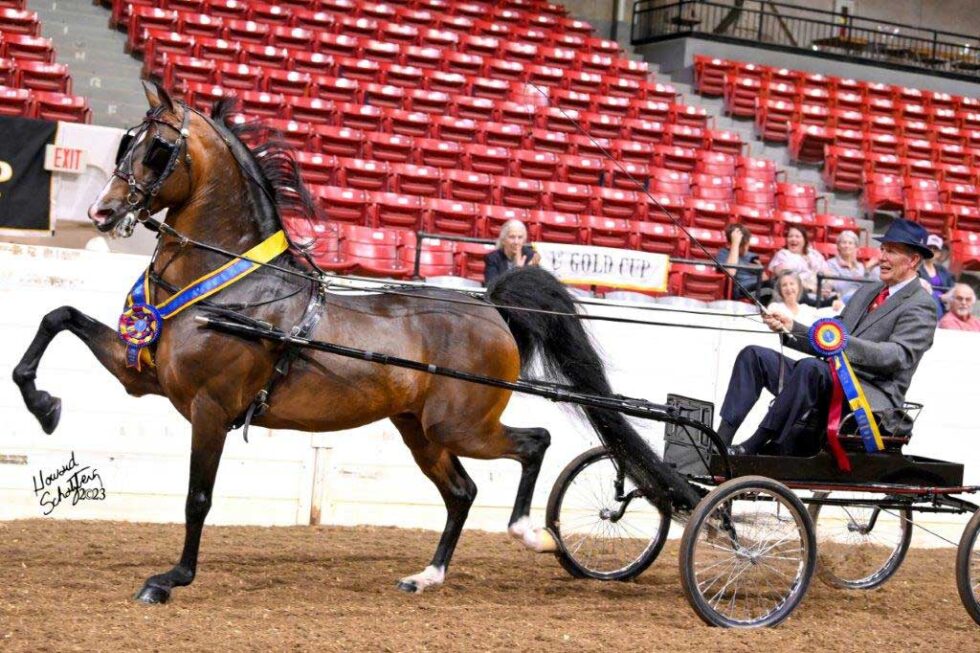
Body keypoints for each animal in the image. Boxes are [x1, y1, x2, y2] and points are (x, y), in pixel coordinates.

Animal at [12, 82, 699, 604]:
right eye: (126, 141)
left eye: (157, 149)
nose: (102, 213)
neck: (234, 287)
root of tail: (490, 305)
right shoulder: (144, 376)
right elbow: (58, 315)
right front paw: (44, 408)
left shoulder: (210, 407)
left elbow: (197, 497)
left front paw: (170, 579)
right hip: (419, 430)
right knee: (463, 491)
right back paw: (429, 575)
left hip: (460, 424)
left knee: (535, 443)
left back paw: (531, 533)